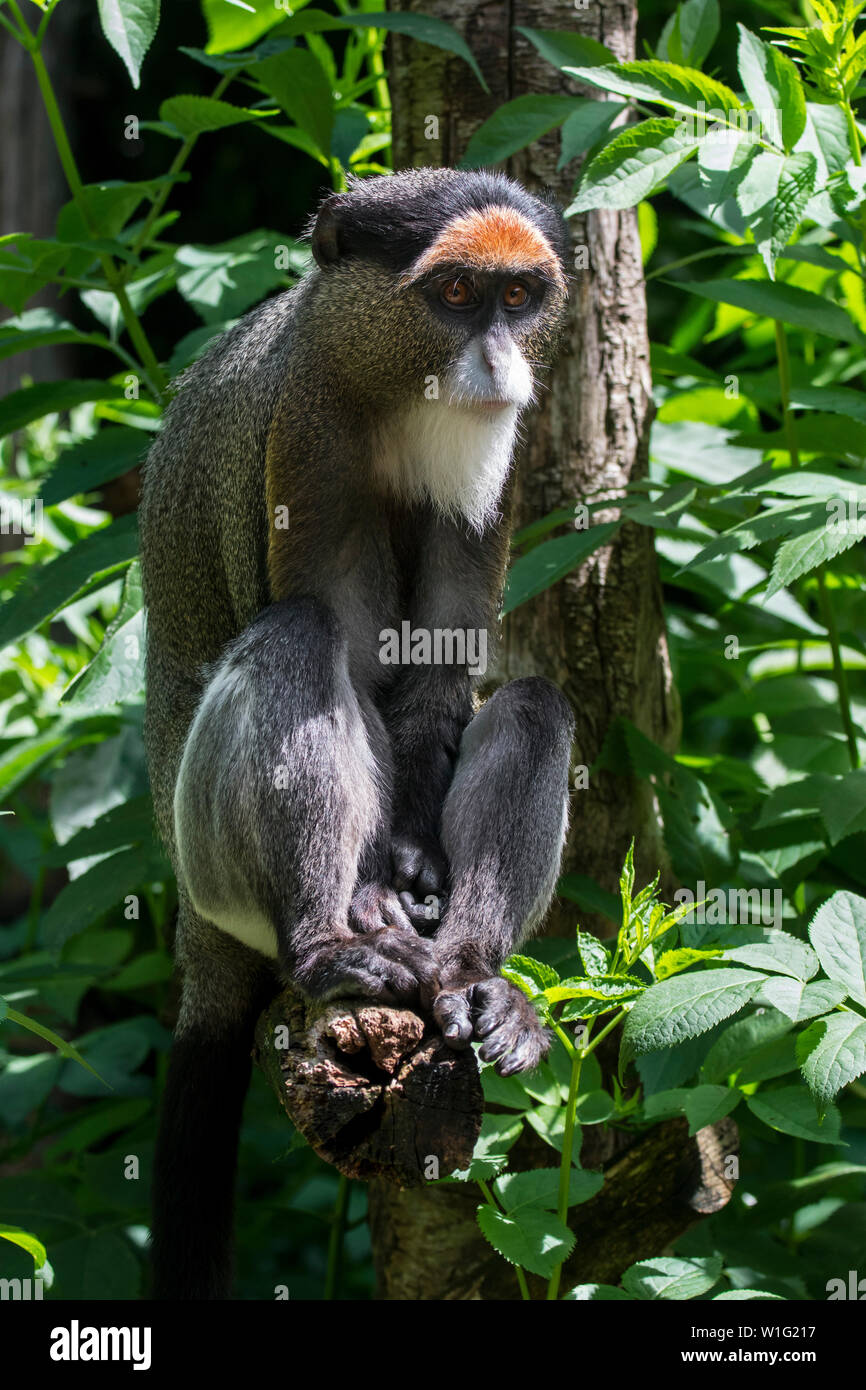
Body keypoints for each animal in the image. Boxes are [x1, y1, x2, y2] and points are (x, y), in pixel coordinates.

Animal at [139, 166, 575, 1300]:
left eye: (518, 298)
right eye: (456, 296)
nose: (499, 361)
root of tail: (196, 944)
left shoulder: (502, 452)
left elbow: (440, 678)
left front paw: (420, 880)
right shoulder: (305, 431)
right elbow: (337, 636)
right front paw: (374, 895)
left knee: (534, 704)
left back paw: (473, 979)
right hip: (211, 865)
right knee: (295, 639)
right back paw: (331, 944)